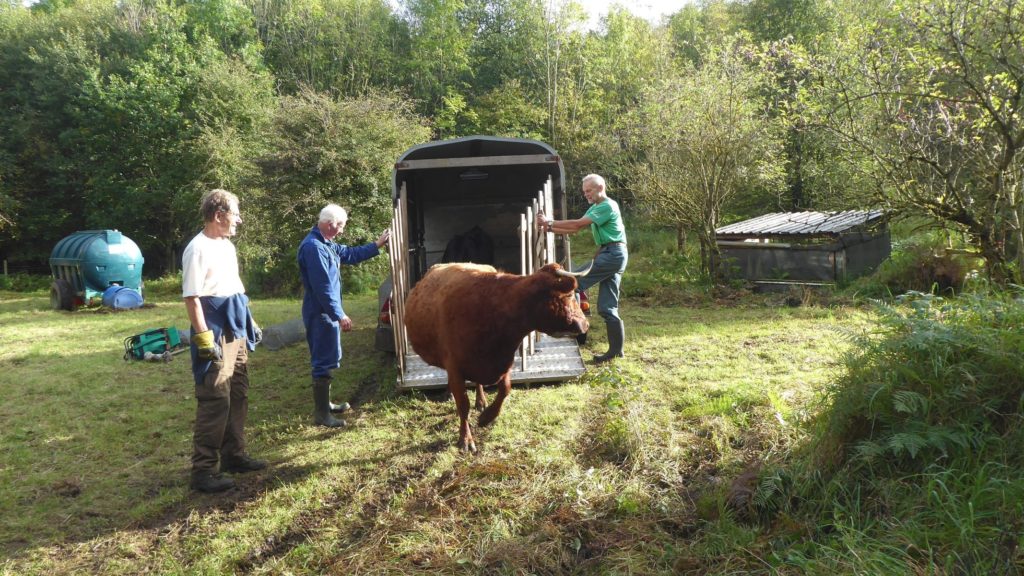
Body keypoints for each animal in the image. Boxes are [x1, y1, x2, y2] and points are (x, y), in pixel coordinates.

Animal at [404, 262, 590, 452]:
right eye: (569, 295)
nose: (586, 323)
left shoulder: (504, 360)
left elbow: (505, 389)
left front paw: (486, 417)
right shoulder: (455, 367)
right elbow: (463, 405)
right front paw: (466, 439)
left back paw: (481, 401)